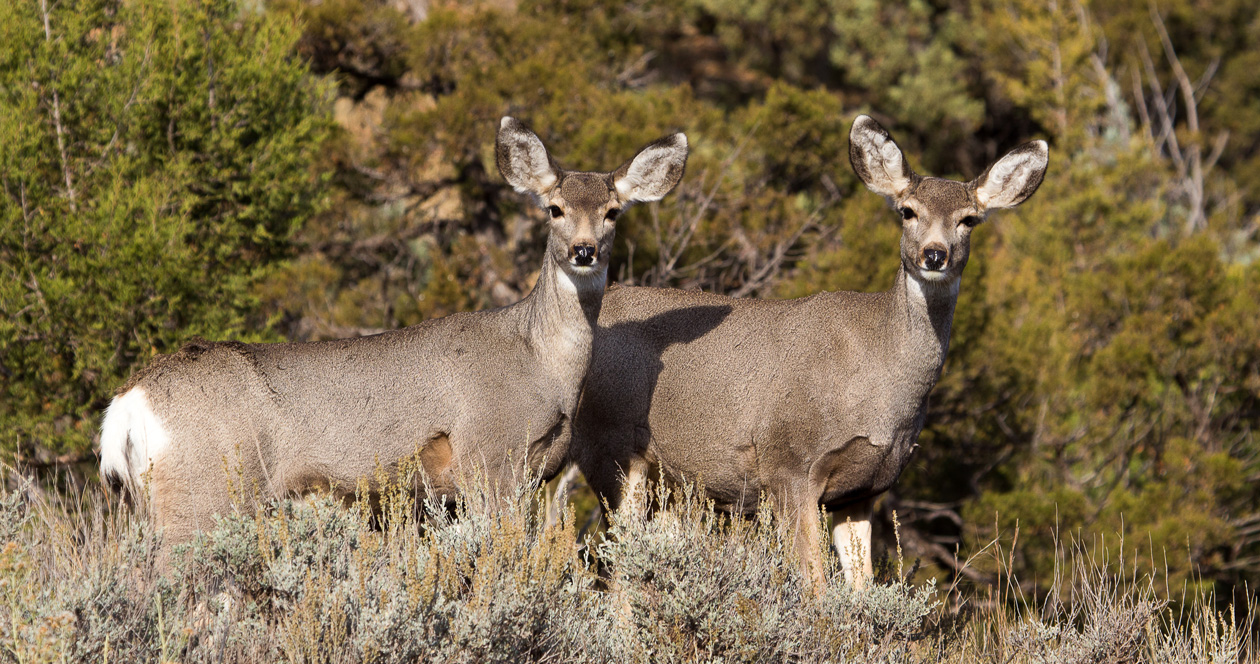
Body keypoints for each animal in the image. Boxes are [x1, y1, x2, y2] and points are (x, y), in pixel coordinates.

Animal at [99, 117, 689, 545]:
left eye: (613, 212)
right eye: (555, 209)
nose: (583, 252)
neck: (541, 362)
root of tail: (128, 402)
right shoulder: (487, 457)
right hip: (203, 493)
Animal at [570, 115, 1047, 590]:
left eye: (969, 220)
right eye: (908, 211)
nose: (935, 254)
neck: (880, 380)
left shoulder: (864, 490)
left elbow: (860, 589)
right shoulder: (789, 466)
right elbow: (815, 585)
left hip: (665, 484)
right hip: (611, 449)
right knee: (616, 570)